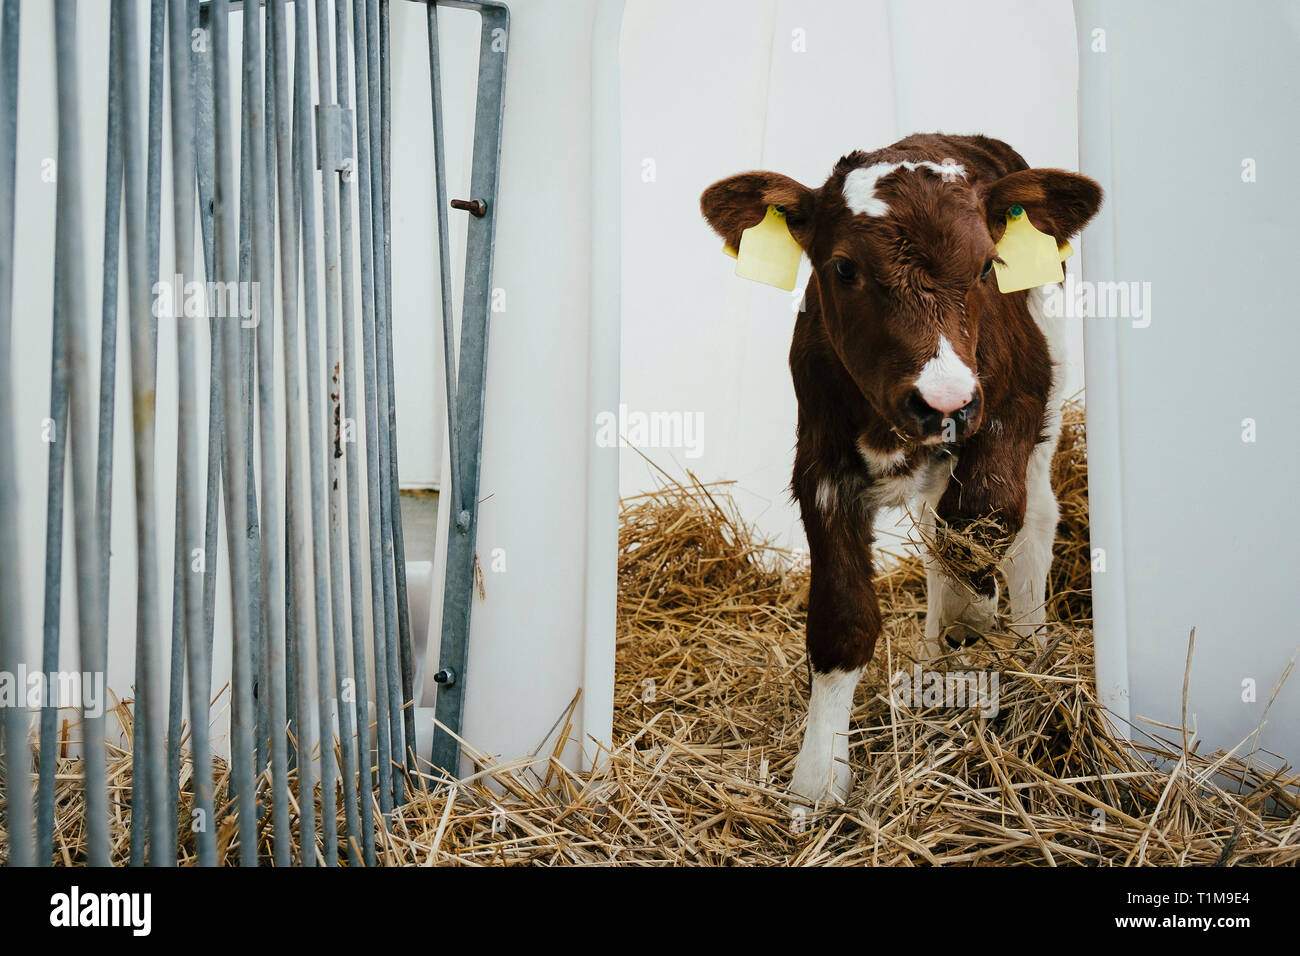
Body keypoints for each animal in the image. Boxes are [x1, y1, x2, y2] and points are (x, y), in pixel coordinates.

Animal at [699, 133, 1102, 805]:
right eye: (844, 268)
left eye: (988, 267)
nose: (942, 403)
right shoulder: (820, 465)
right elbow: (842, 617)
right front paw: (817, 780)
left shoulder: (1017, 400)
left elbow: (985, 510)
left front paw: (972, 617)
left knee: (1031, 525)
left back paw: (1027, 649)